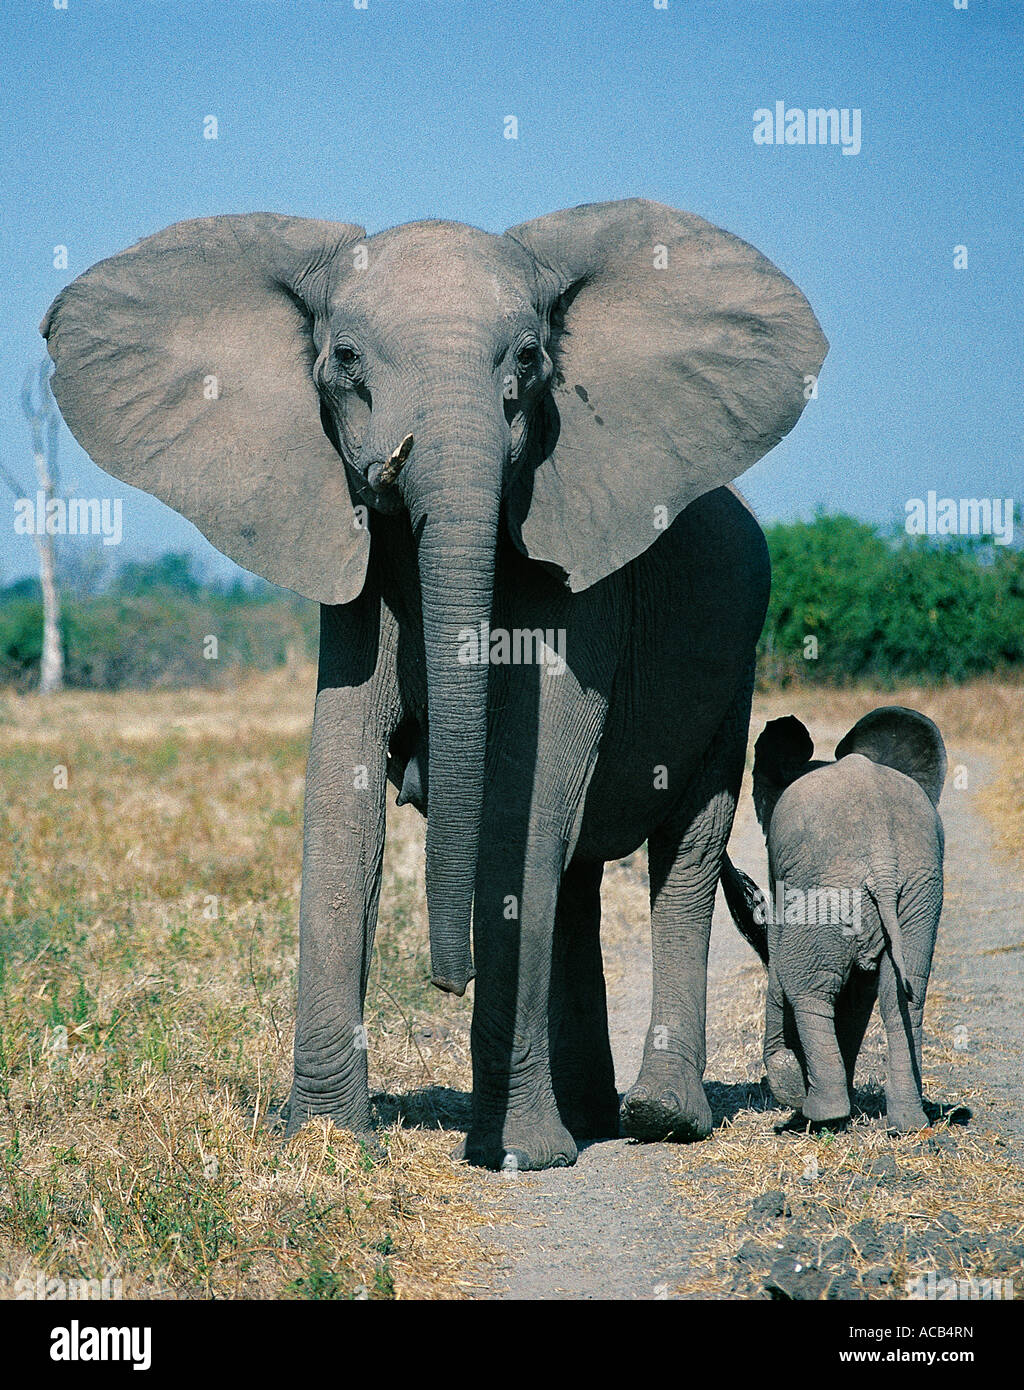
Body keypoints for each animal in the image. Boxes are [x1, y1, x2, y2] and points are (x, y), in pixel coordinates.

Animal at [41, 198, 827, 1169]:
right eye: (345, 358)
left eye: (527, 359)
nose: (446, 982)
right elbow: (341, 785)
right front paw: (328, 1146)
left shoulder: (575, 570)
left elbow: (525, 794)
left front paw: (519, 1155)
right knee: (572, 877)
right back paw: (591, 1118)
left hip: (736, 666)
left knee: (684, 850)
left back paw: (656, 1119)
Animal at [723, 707, 947, 1132]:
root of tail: (883, 859)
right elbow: (861, 996)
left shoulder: (786, 882)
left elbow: (784, 966)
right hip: (916, 894)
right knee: (902, 995)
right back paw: (907, 1123)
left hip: (827, 889)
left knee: (806, 986)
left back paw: (812, 1113)